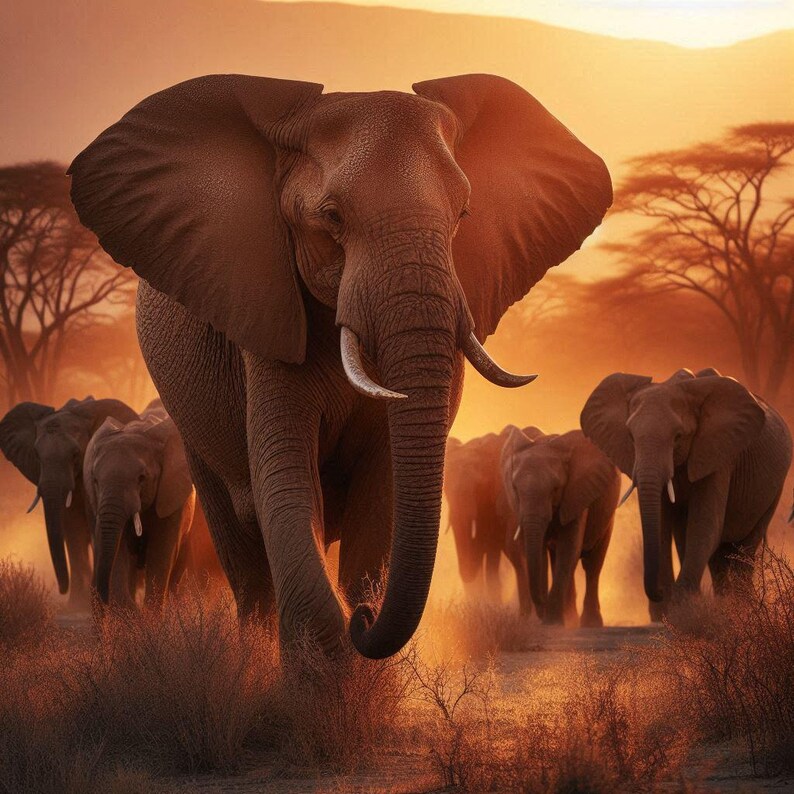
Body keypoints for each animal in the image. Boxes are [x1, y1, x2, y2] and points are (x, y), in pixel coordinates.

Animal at [83, 400, 196, 607]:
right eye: (95, 480)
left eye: (141, 478)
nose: (98, 593)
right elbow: (119, 553)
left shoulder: (172, 497)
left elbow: (161, 553)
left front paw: (148, 614)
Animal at [501, 426, 620, 627]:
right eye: (515, 489)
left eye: (555, 489)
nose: (541, 606)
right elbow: (541, 552)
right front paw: (545, 621)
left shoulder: (577, 494)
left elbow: (569, 548)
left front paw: (553, 622)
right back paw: (570, 618)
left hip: (607, 515)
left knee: (592, 564)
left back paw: (588, 623)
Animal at [581, 368, 792, 619]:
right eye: (631, 437)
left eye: (678, 437)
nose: (660, 592)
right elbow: (662, 523)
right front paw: (666, 612)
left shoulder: (717, 456)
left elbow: (705, 525)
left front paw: (682, 610)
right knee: (716, 556)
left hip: (776, 487)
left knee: (746, 548)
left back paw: (742, 611)